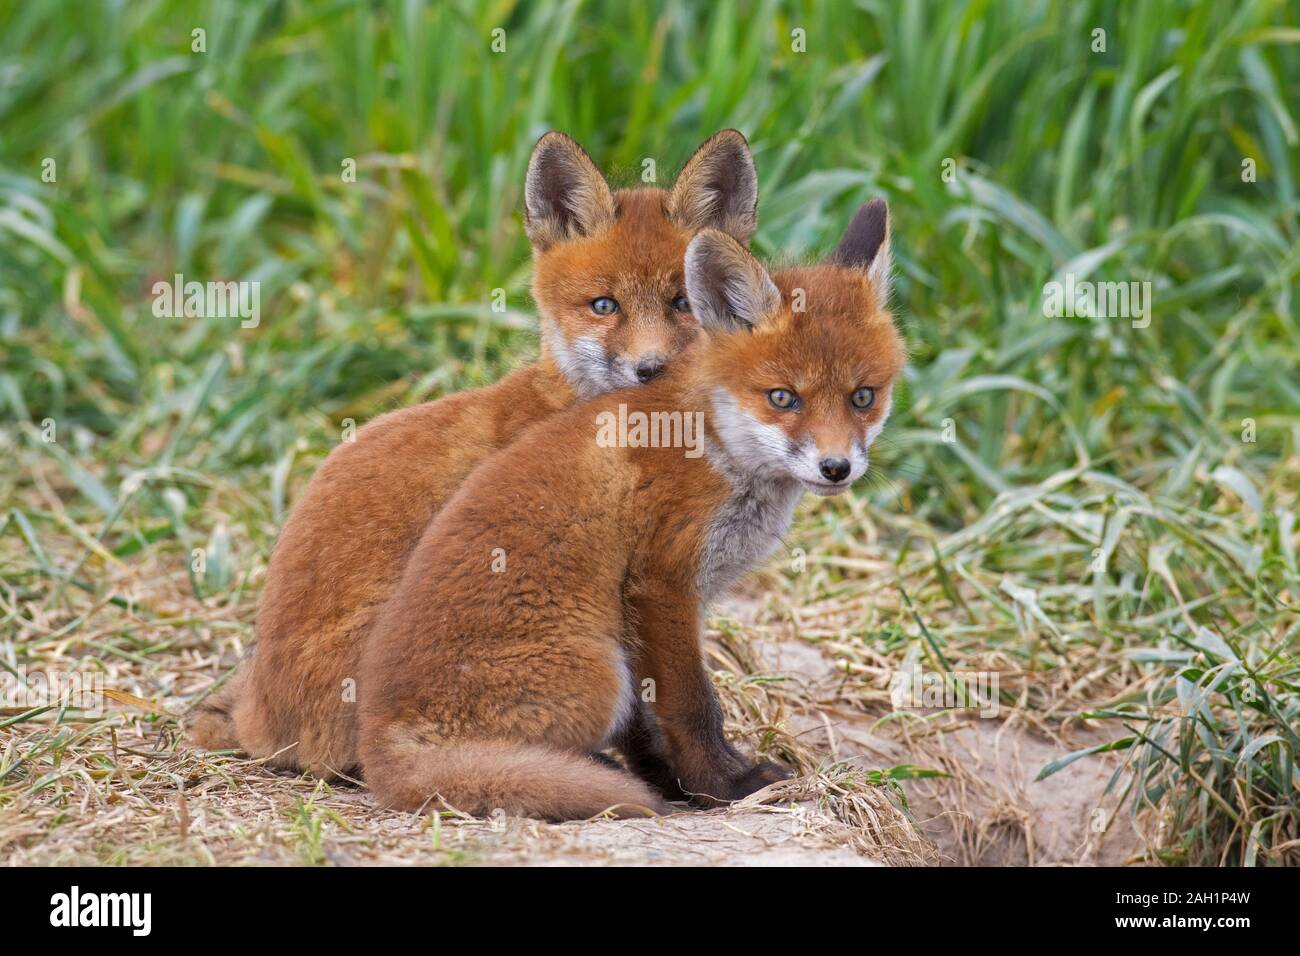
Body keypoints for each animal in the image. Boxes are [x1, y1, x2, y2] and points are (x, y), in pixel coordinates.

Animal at [355, 199, 906, 820]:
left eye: (863, 397)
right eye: (784, 398)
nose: (837, 468)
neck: (713, 444)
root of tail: (377, 743)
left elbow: (651, 721)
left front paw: (677, 780)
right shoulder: (661, 585)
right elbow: (693, 706)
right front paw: (725, 787)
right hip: (600, 671)